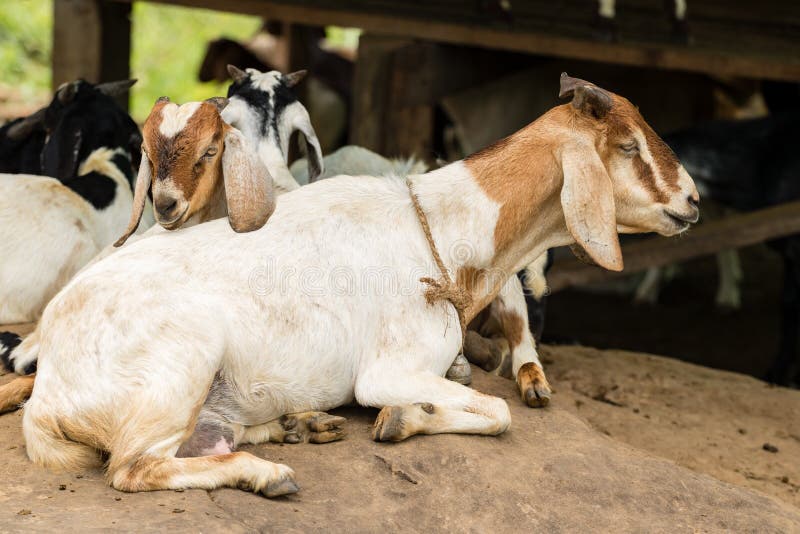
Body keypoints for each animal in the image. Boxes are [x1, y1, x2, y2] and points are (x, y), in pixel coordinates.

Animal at [20, 74, 698, 497]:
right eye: (629, 145)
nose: (692, 201)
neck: (439, 224)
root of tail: (47, 393)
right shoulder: (388, 369)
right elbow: (499, 411)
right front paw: (402, 419)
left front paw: (404, 417)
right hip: (181, 368)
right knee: (136, 467)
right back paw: (268, 472)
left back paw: (299, 426)